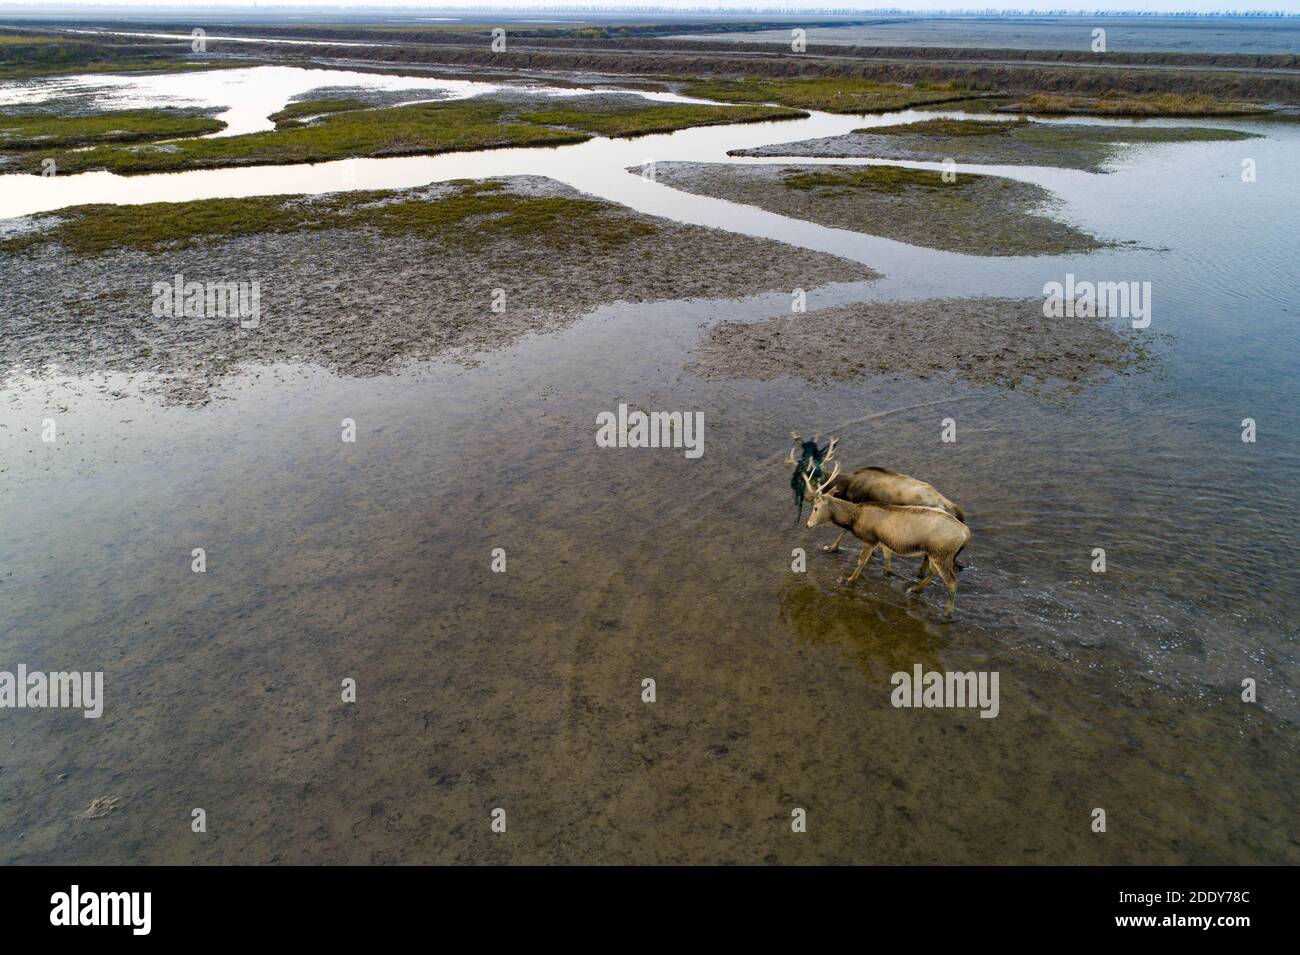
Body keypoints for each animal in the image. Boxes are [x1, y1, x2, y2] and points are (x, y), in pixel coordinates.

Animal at [803, 463, 971, 616]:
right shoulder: (882, 540)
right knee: (933, 572)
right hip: (935, 554)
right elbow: (887, 560)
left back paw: (946, 613)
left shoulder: (870, 539)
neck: (854, 519)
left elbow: (861, 561)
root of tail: (966, 533)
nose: (808, 524)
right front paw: (887, 573)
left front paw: (849, 579)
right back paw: (915, 589)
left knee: (952, 582)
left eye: (816, 508)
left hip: (942, 554)